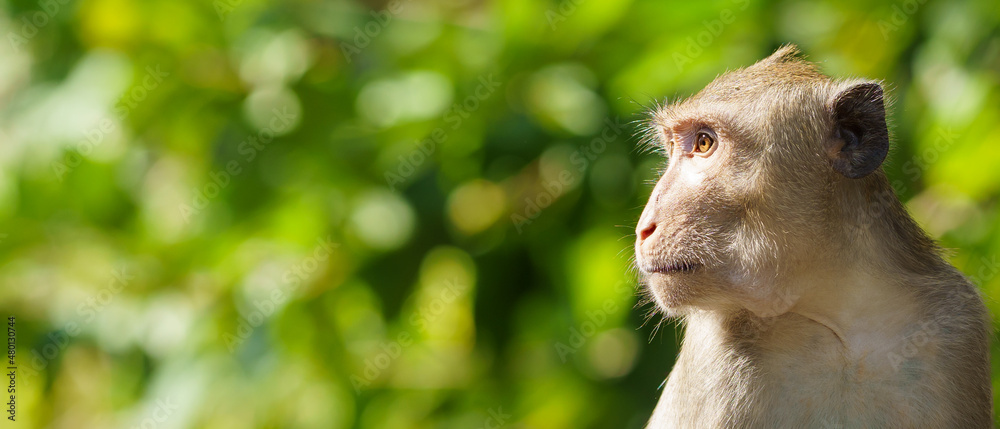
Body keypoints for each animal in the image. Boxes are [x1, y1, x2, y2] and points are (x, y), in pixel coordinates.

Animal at [633, 45, 992, 428]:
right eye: (675, 147)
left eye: (703, 143)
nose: (644, 227)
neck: (836, 314)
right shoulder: (714, 355)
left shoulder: (954, 324)